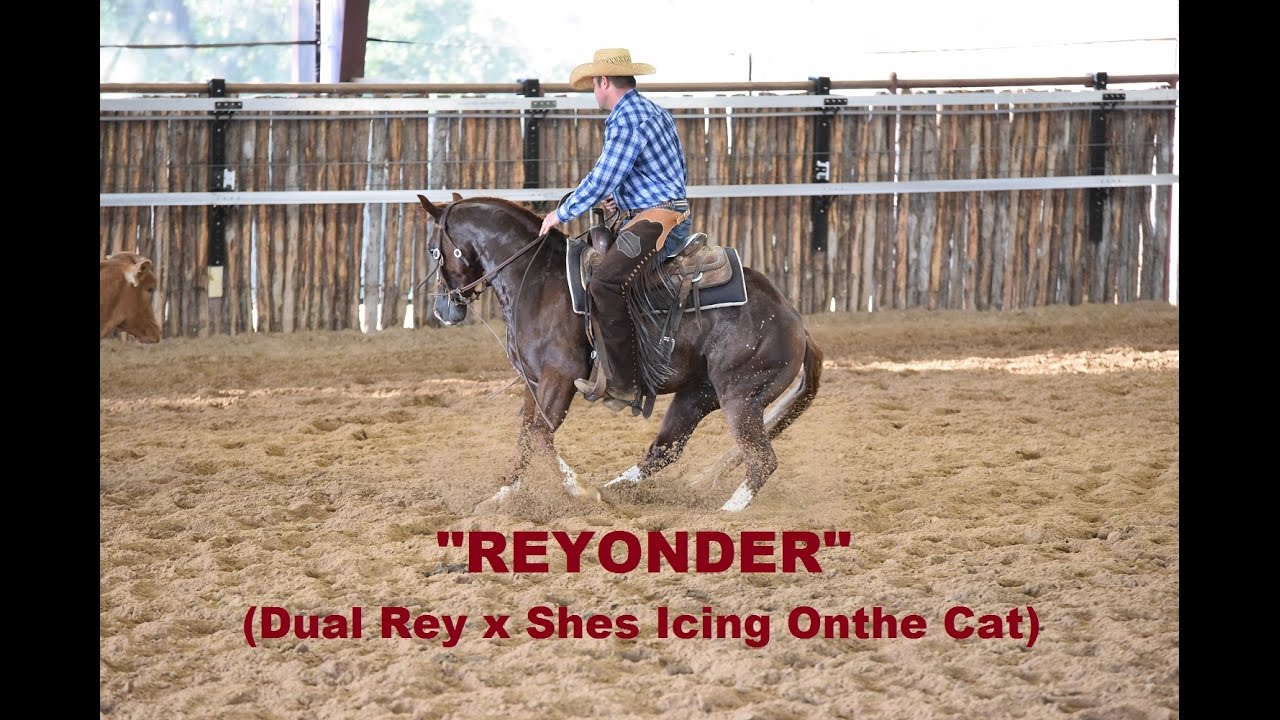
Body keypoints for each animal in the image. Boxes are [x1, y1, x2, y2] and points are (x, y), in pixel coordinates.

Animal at [417, 194, 822, 512]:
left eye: (433, 249)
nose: (443, 309)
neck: (537, 279)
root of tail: (795, 322)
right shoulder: (533, 382)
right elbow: (526, 439)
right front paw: (501, 496)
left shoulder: (559, 378)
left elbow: (540, 436)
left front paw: (578, 490)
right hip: (698, 394)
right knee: (664, 450)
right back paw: (614, 489)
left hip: (741, 396)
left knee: (761, 460)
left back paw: (725, 513)